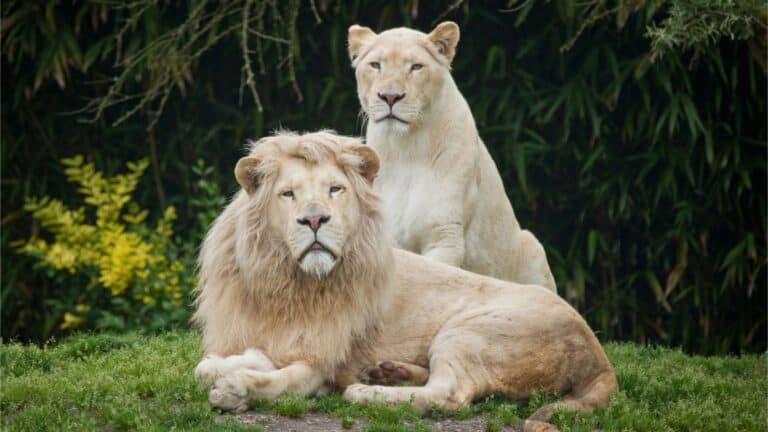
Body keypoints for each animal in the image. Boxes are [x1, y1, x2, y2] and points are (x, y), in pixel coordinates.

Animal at [193, 131, 616, 431]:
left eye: (335, 190)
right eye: (288, 194)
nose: (314, 219)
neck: (287, 283)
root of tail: (597, 354)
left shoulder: (322, 364)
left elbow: (282, 381)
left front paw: (236, 388)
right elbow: (215, 364)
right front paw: (231, 364)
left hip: (468, 330)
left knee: (448, 394)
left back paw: (366, 390)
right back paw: (387, 372)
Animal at [347, 22, 557, 292]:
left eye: (416, 67)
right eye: (375, 65)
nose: (390, 97)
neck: (406, 148)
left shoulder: (445, 237)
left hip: (532, 247)